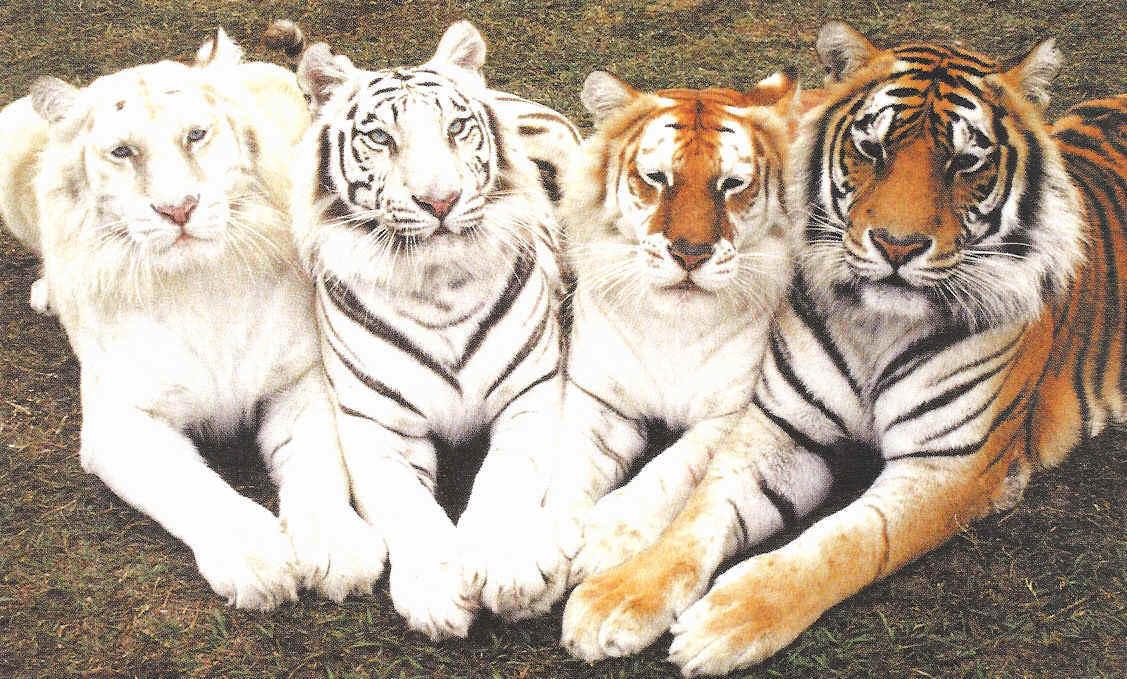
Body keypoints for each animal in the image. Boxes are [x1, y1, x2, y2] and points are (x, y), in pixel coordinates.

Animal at [3, 27, 385, 610]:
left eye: (196, 135)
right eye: (123, 151)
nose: (178, 208)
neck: (196, 283)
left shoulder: (302, 377)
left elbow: (318, 462)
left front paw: (338, 548)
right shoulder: (120, 420)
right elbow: (191, 486)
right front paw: (255, 560)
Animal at [289, 21, 580, 639]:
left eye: (456, 127)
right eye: (379, 137)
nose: (441, 200)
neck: (438, 285)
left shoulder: (530, 394)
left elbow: (505, 476)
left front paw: (507, 564)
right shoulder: (376, 425)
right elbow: (407, 507)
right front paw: (436, 590)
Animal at [541, 70, 800, 590]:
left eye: (731, 184)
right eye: (657, 178)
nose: (690, 254)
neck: (672, 325)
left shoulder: (733, 411)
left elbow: (672, 469)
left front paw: (607, 539)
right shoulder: (599, 396)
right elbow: (570, 462)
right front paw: (532, 551)